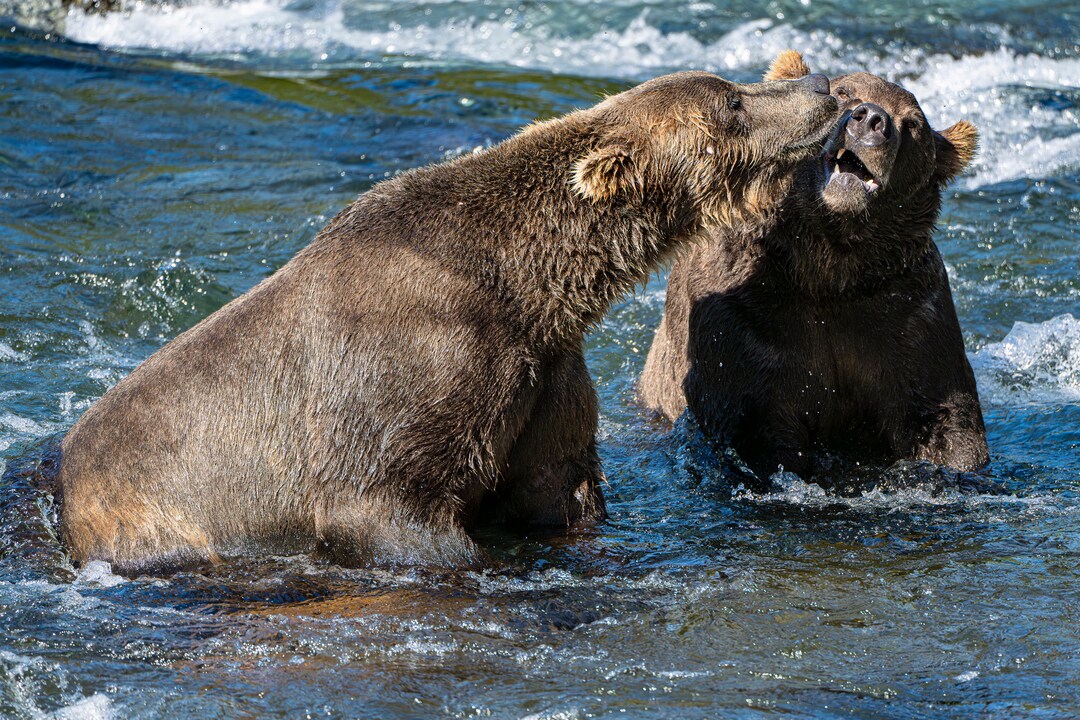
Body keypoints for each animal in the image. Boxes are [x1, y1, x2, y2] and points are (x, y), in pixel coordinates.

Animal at [57, 68, 839, 575]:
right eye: (732, 101)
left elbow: (556, 485)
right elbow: (388, 498)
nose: (823, 88)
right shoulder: (416, 362)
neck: (529, 287)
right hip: (156, 512)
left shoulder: (545, 371)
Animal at [638, 51, 989, 483]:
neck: (827, 266)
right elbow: (752, 421)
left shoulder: (907, 310)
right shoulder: (741, 314)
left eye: (912, 124)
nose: (871, 120)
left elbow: (943, 418)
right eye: (845, 92)